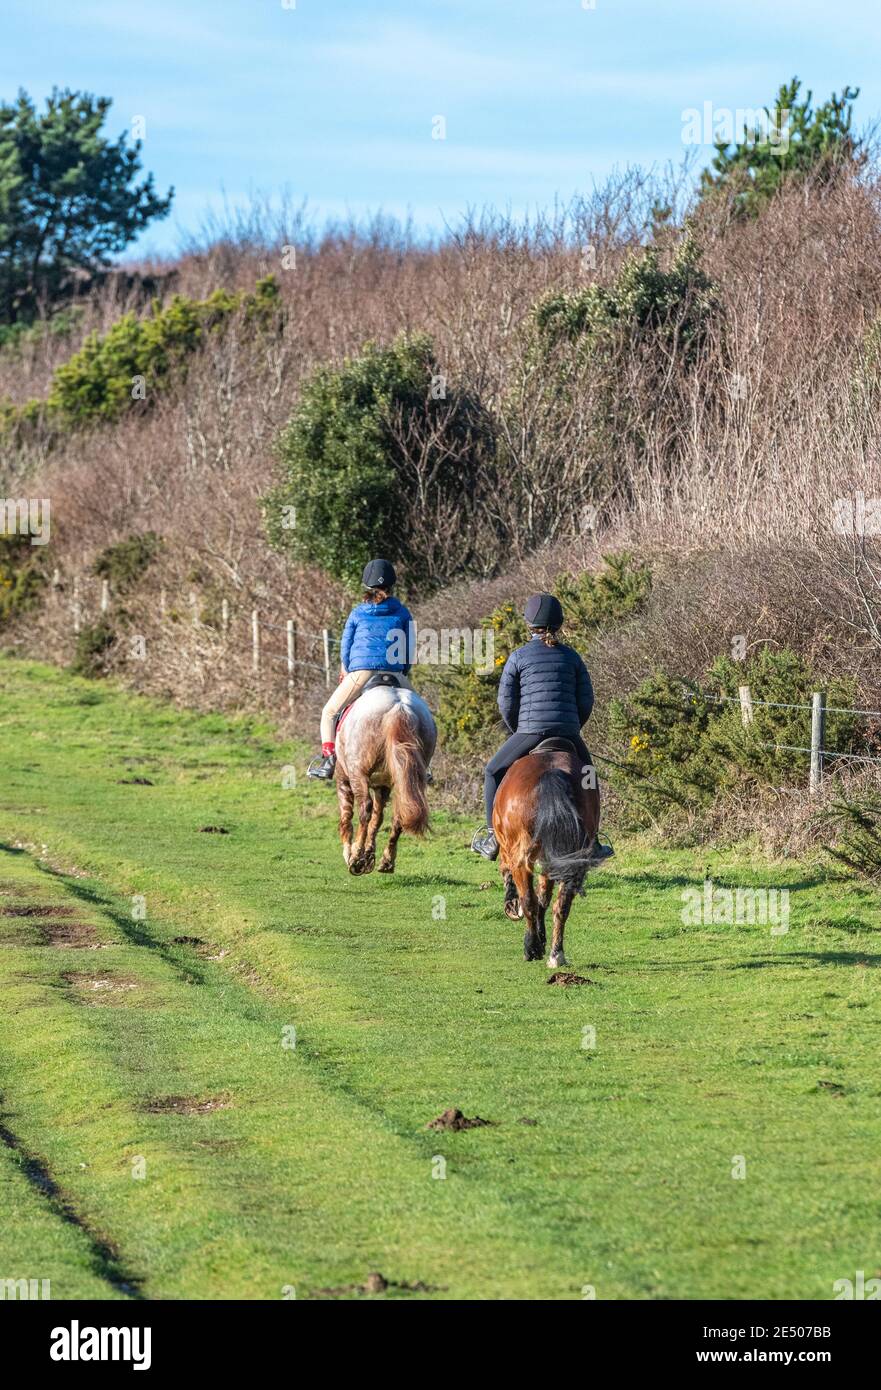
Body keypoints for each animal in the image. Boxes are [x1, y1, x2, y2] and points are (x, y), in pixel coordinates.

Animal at [335, 682, 436, 876]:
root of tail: (399, 707)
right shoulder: (382, 786)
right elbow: (378, 819)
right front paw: (369, 855)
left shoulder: (343, 780)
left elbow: (347, 816)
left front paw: (350, 853)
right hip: (403, 780)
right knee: (399, 814)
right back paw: (387, 861)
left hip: (358, 774)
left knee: (364, 808)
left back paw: (355, 857)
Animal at [492, 737, 600, 966]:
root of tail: (551, 773)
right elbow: (545, 896)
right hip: (571, 857)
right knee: (562, 905)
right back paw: (556, 954)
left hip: (523, 858)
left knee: (529, 900)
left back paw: (531, 948)